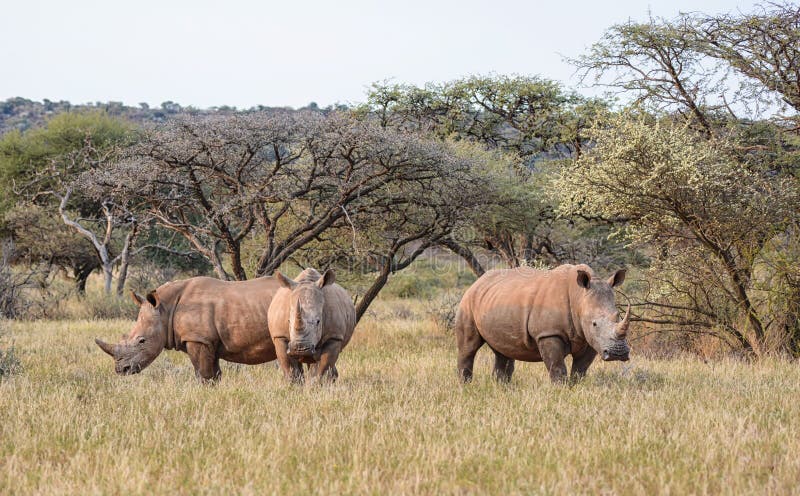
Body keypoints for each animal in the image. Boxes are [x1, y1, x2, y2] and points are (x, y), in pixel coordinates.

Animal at [95, 276, 282, 382]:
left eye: (142, 341)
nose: (121, 370)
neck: (165, 309)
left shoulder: (198, 339)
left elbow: (204, 374)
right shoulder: (208, 341)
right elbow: (215, 374)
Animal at [455, 263, 630, 384]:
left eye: (618, 316)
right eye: (594, 323)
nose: (618, 353)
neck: (579, 297)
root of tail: (478, 281)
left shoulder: (590, 339)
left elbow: (580, 369)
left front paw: (575, 387)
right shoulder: (549, 333)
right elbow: (557, 367)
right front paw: (561, 391)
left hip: (496, 300)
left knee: (502, 350)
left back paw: (502, 387)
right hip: (468, 300)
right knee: (468, 347)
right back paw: (465, 386)